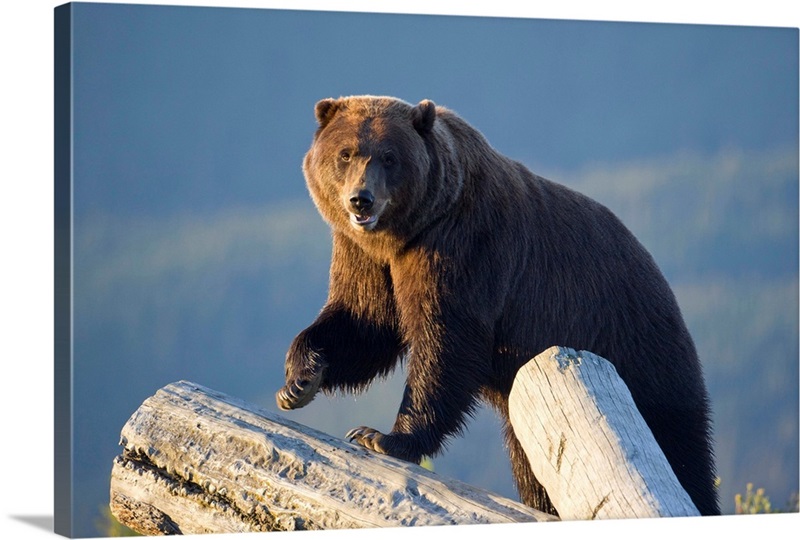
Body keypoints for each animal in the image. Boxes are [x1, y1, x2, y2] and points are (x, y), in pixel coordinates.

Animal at [275, 95, 719, 517]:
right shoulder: (365, 255)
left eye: (389, 157)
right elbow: (363, 322)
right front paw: (298, 382)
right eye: (346, 153)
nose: (361, 200)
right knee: (533, 467)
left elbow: (445, 341)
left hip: (638, 353)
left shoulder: (462, 246)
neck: (406, 232)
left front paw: (382, 437)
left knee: (679, 451)